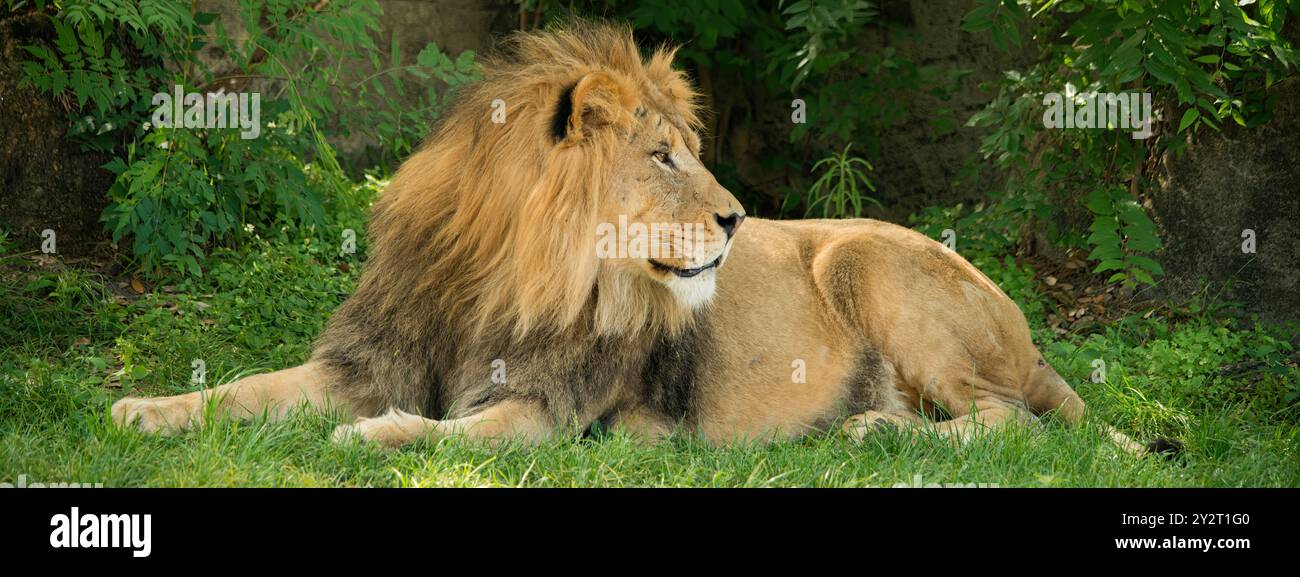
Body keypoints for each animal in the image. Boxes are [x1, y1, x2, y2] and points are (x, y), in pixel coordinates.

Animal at [111, 21, 1162, 456]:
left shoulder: (559, 411)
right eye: (662, 157)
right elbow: (248, 389)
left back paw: (881, 436)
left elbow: (447, 432)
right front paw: (143, 410)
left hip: (873, 262)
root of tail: (1027, 331)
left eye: (690, 152)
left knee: (1011, 425)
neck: (504, 277)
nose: (738, 217)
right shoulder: (366, 358)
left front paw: (371, 435)